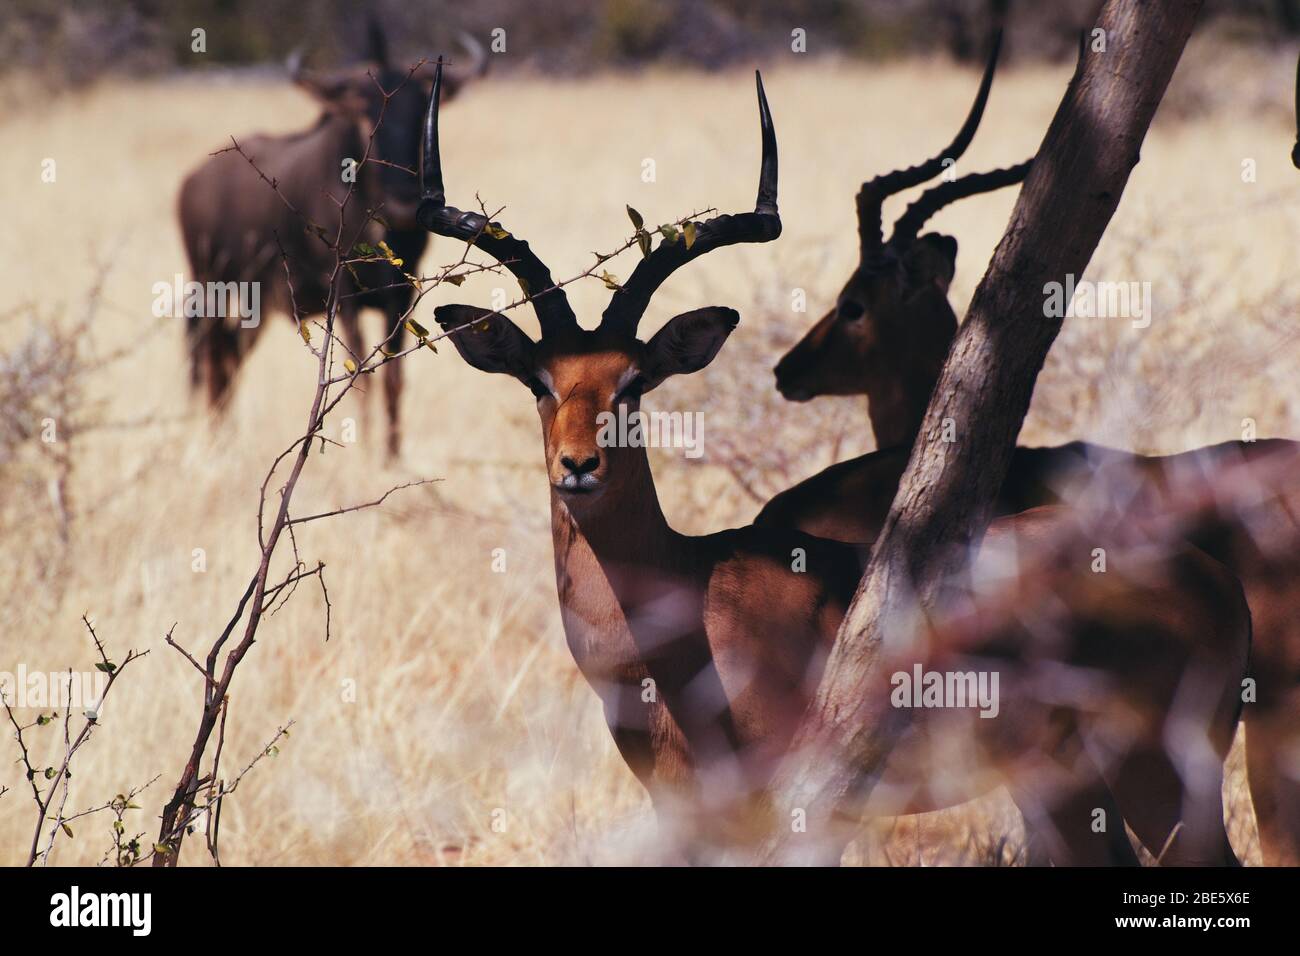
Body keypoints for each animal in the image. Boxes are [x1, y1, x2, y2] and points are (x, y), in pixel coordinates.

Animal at [177, 19, 487, 456]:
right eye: (363, 114)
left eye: (422, 112)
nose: (402, 206)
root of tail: (192, 182)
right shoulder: (344, 298)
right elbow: (362, 373)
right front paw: (366, 448)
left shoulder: (401, 296)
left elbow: (394, 378)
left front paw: (391, 455)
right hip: (210, 288)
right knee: (208, 355)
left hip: (254, 304)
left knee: (228, 355)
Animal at [417, 62, 1249, 865]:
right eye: (540, 380)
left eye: (634, 381)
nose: (579, 466)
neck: (687, 606)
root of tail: (1211, 575)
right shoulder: (683, 815)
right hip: (1068, 789)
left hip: (1160, 781)